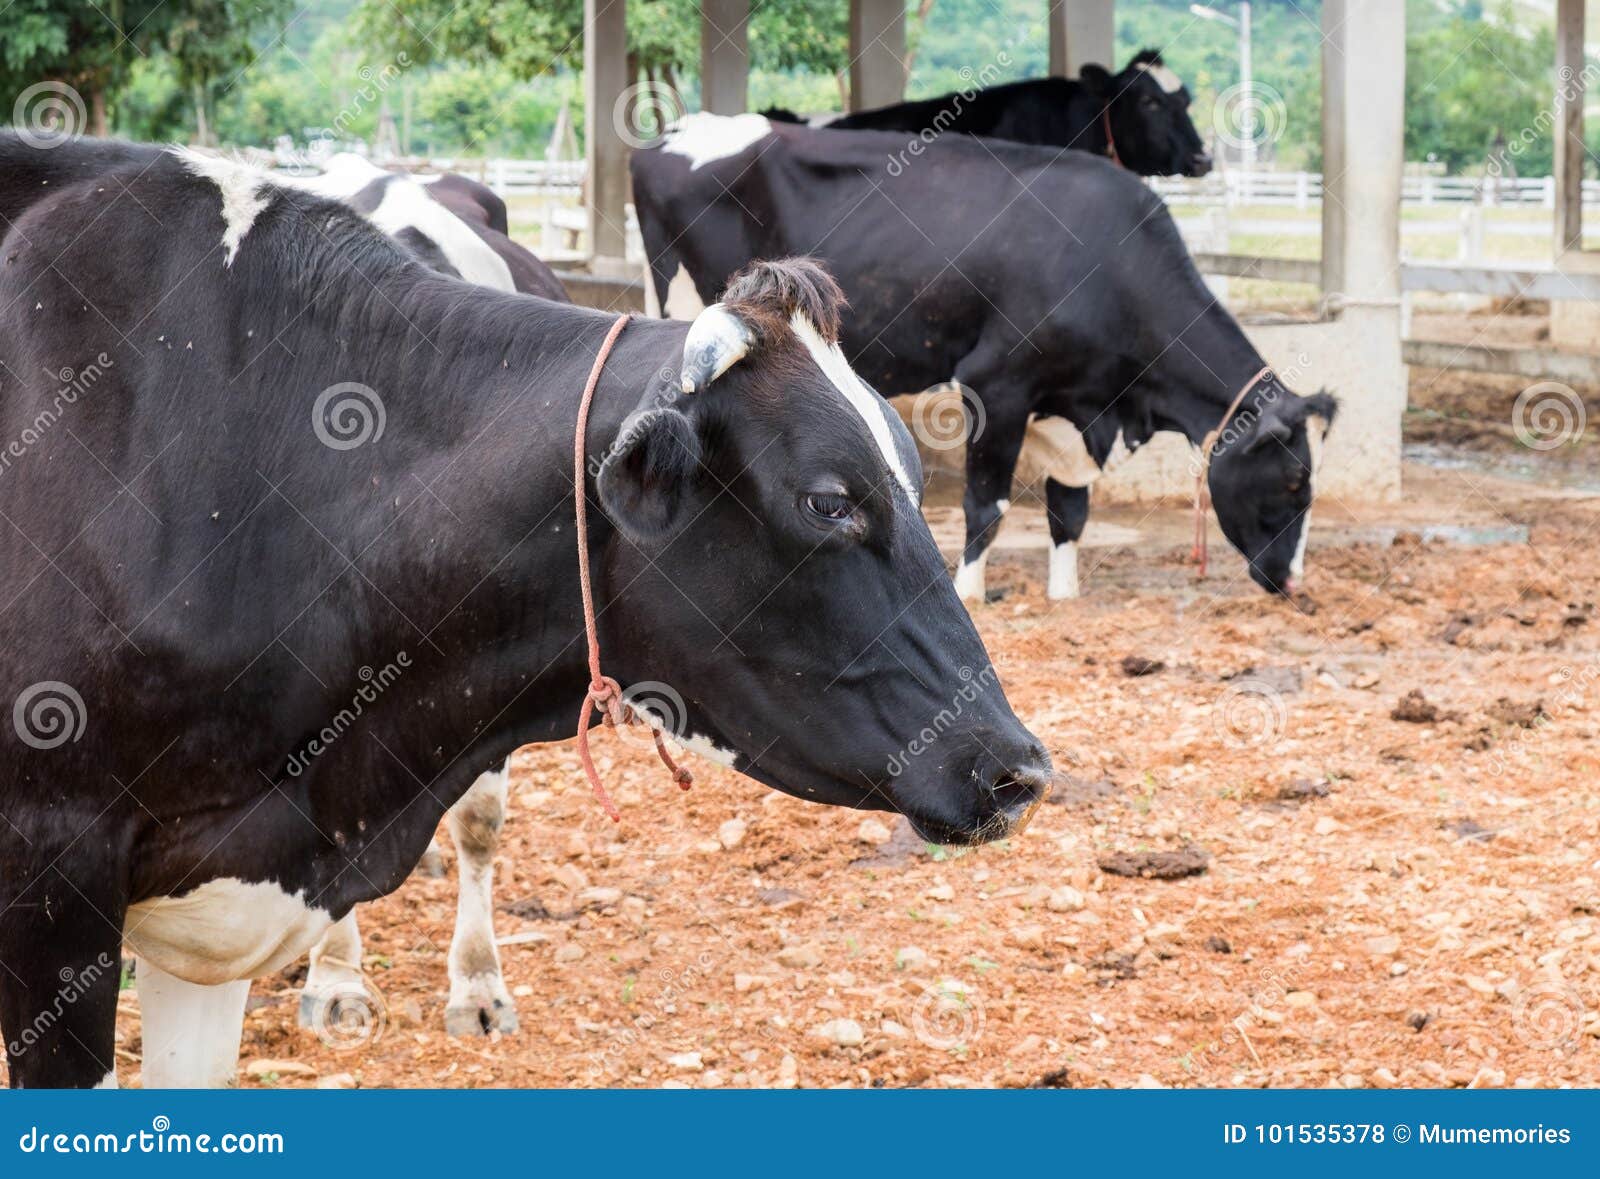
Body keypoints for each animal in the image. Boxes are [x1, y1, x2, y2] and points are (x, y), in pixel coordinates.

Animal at [631, 115, 1335, 602]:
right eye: (1292, 482)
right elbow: (987, 507)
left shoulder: (1073, 406)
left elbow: (1070, 510)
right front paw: (969, 590)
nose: (1293, 583)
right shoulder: (996, 385)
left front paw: (1063, 593)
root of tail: (677, 132)